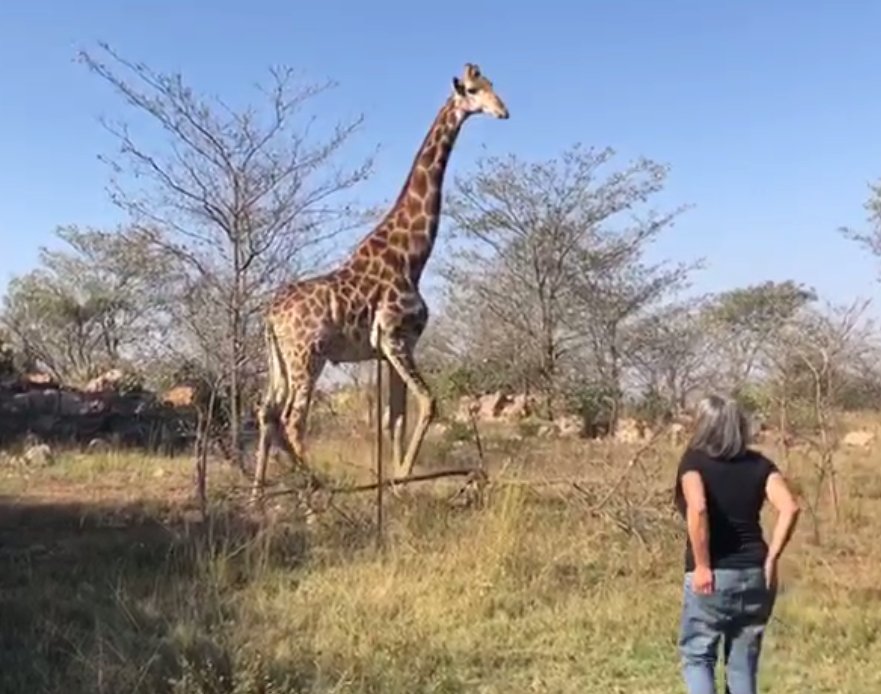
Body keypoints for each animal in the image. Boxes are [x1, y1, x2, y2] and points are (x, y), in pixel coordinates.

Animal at [250, 62, 509, 502]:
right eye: (474, 90)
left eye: (493, 85)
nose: (503, 112)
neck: (412, 256)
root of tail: (270, 314)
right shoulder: (395, 339)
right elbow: (429, 404)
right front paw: (401, 481)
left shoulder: (392, 349)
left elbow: (395, 419)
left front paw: (392, 487)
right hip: (308, 356)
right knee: (292, 420)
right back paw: (314, 495)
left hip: (280, 360)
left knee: (267, 411)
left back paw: (258, 495)